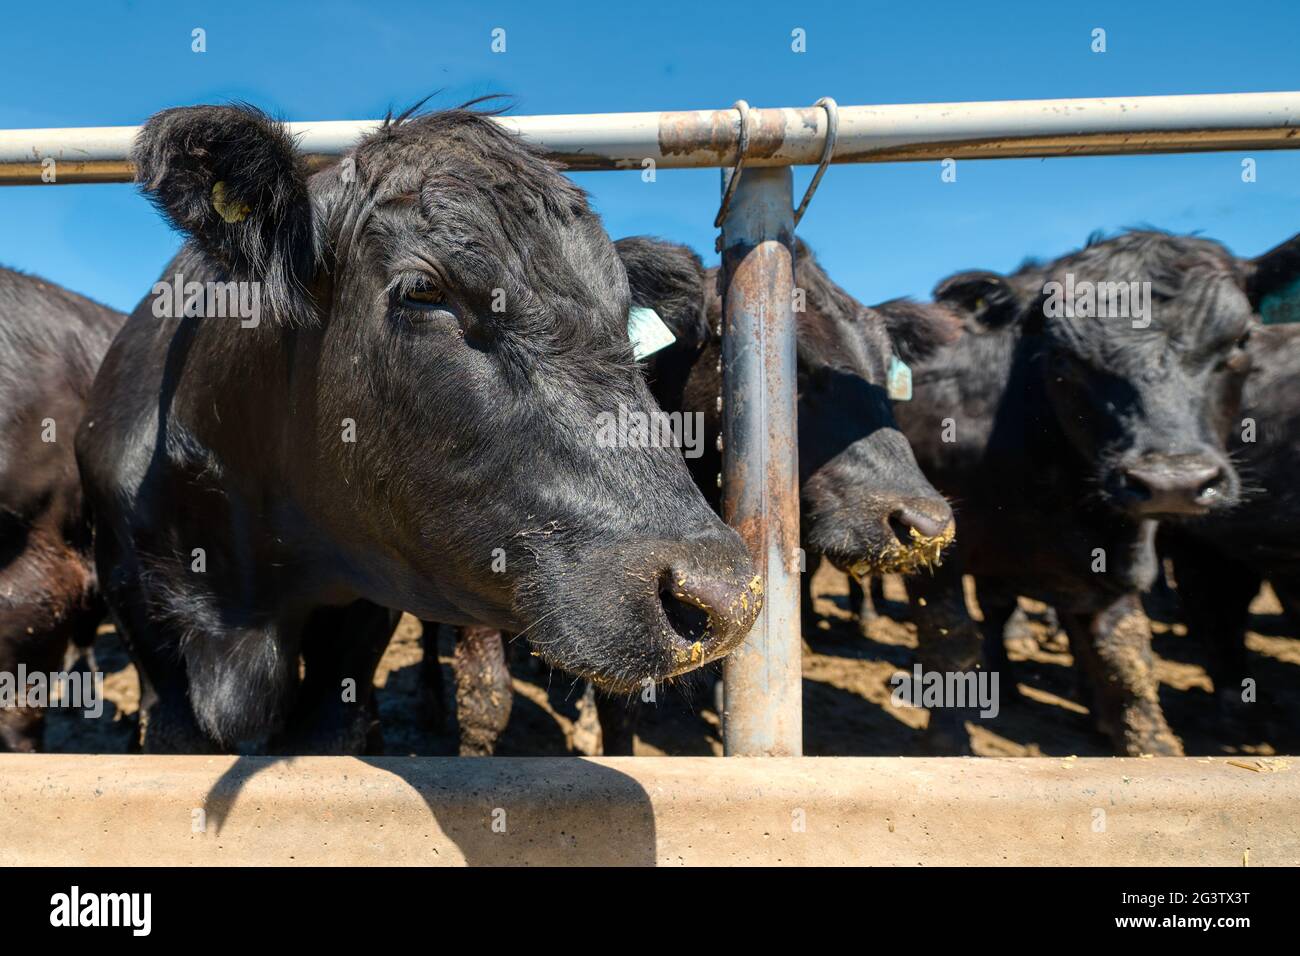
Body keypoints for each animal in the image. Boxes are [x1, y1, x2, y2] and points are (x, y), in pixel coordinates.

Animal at [893, 229, 1299, 755]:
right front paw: (947, 742)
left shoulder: (1117, 554)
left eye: (1242, 340)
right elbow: (948, 641)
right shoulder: (934, 547)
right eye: (1064, 357)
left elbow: (1124, 654)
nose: (1174, 481)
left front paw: (1151, 745)